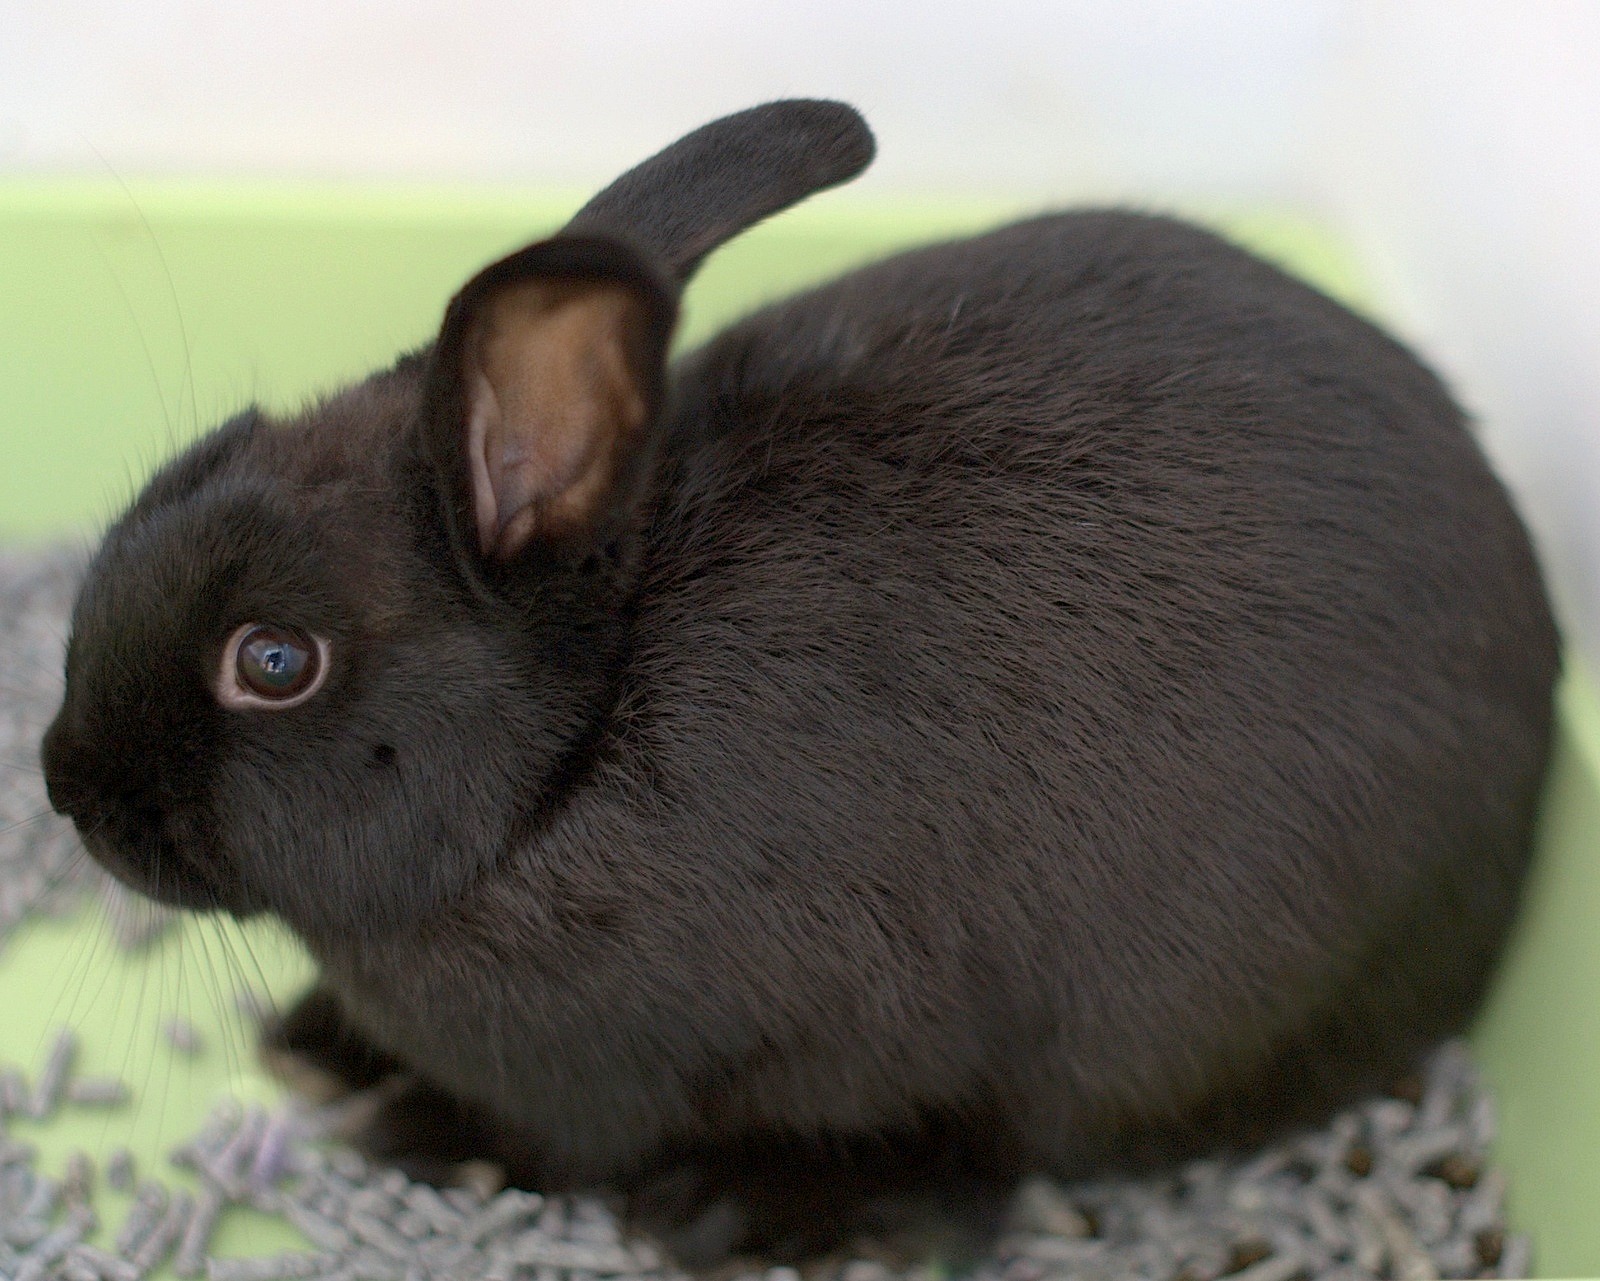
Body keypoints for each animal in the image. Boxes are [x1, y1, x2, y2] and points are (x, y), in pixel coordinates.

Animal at [40, 99, 1559, 1265]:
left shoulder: (642, 1065)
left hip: (1141, 1027)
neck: (560, 767)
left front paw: (420, 1127)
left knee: (987, 1158)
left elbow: (566, 1133)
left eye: (274, 662)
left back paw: (737, 1211)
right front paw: (322, 1044)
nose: (66, 784)